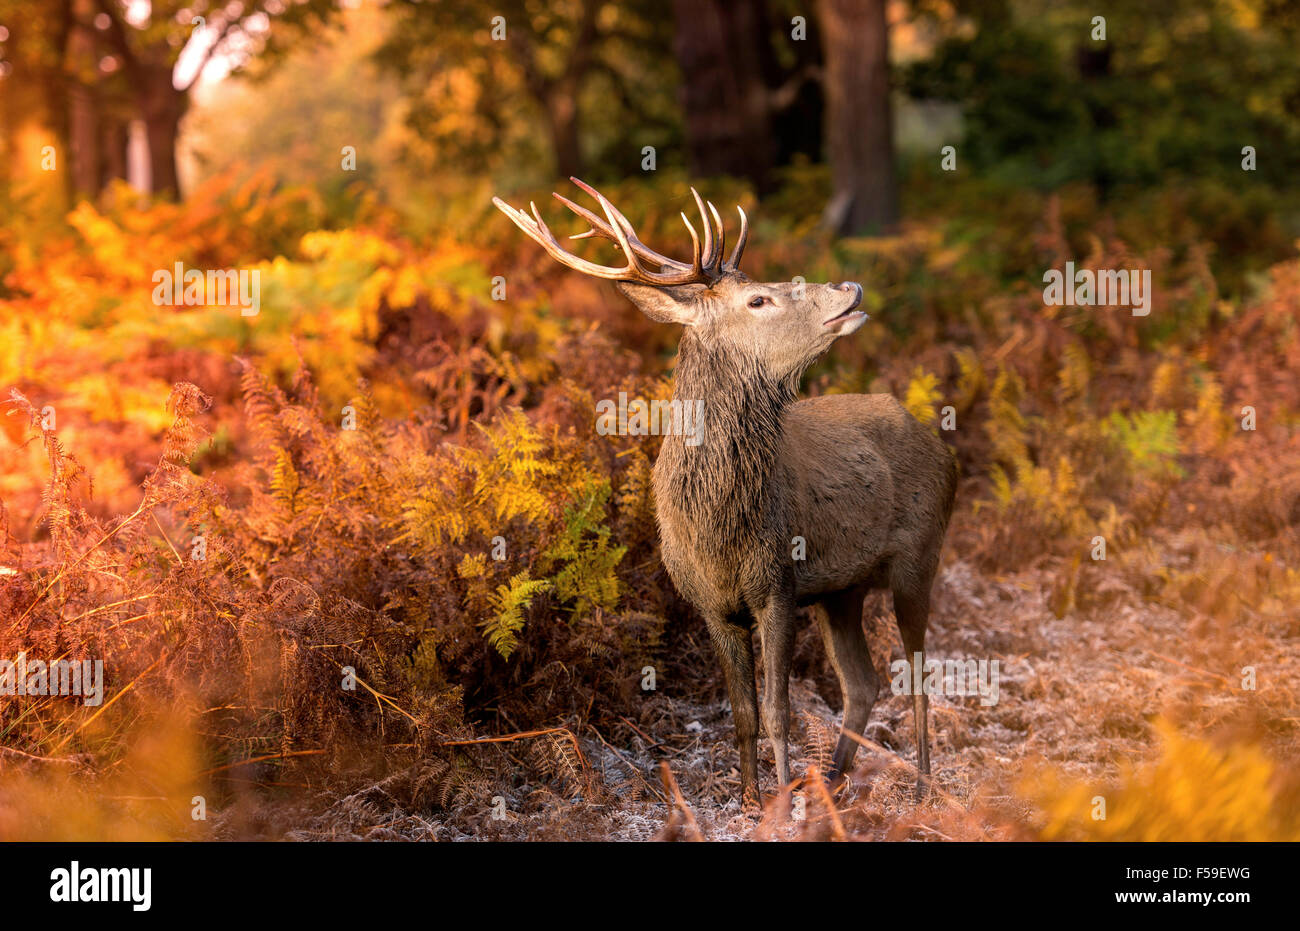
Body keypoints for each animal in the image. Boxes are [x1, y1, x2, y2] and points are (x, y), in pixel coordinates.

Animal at [493, 179, 957, 805]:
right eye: (758, 300)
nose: (850, 286)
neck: (717, 526)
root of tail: (937, 442)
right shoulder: (711, 604)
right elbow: (742, 716)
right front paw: (749, 799)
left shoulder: (778, 585)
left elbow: (780, 712)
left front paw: (780, 803)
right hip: (844, 588)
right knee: (863, 683)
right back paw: (834, 781)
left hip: (920, 555)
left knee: (918, 674)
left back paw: (923, 786)